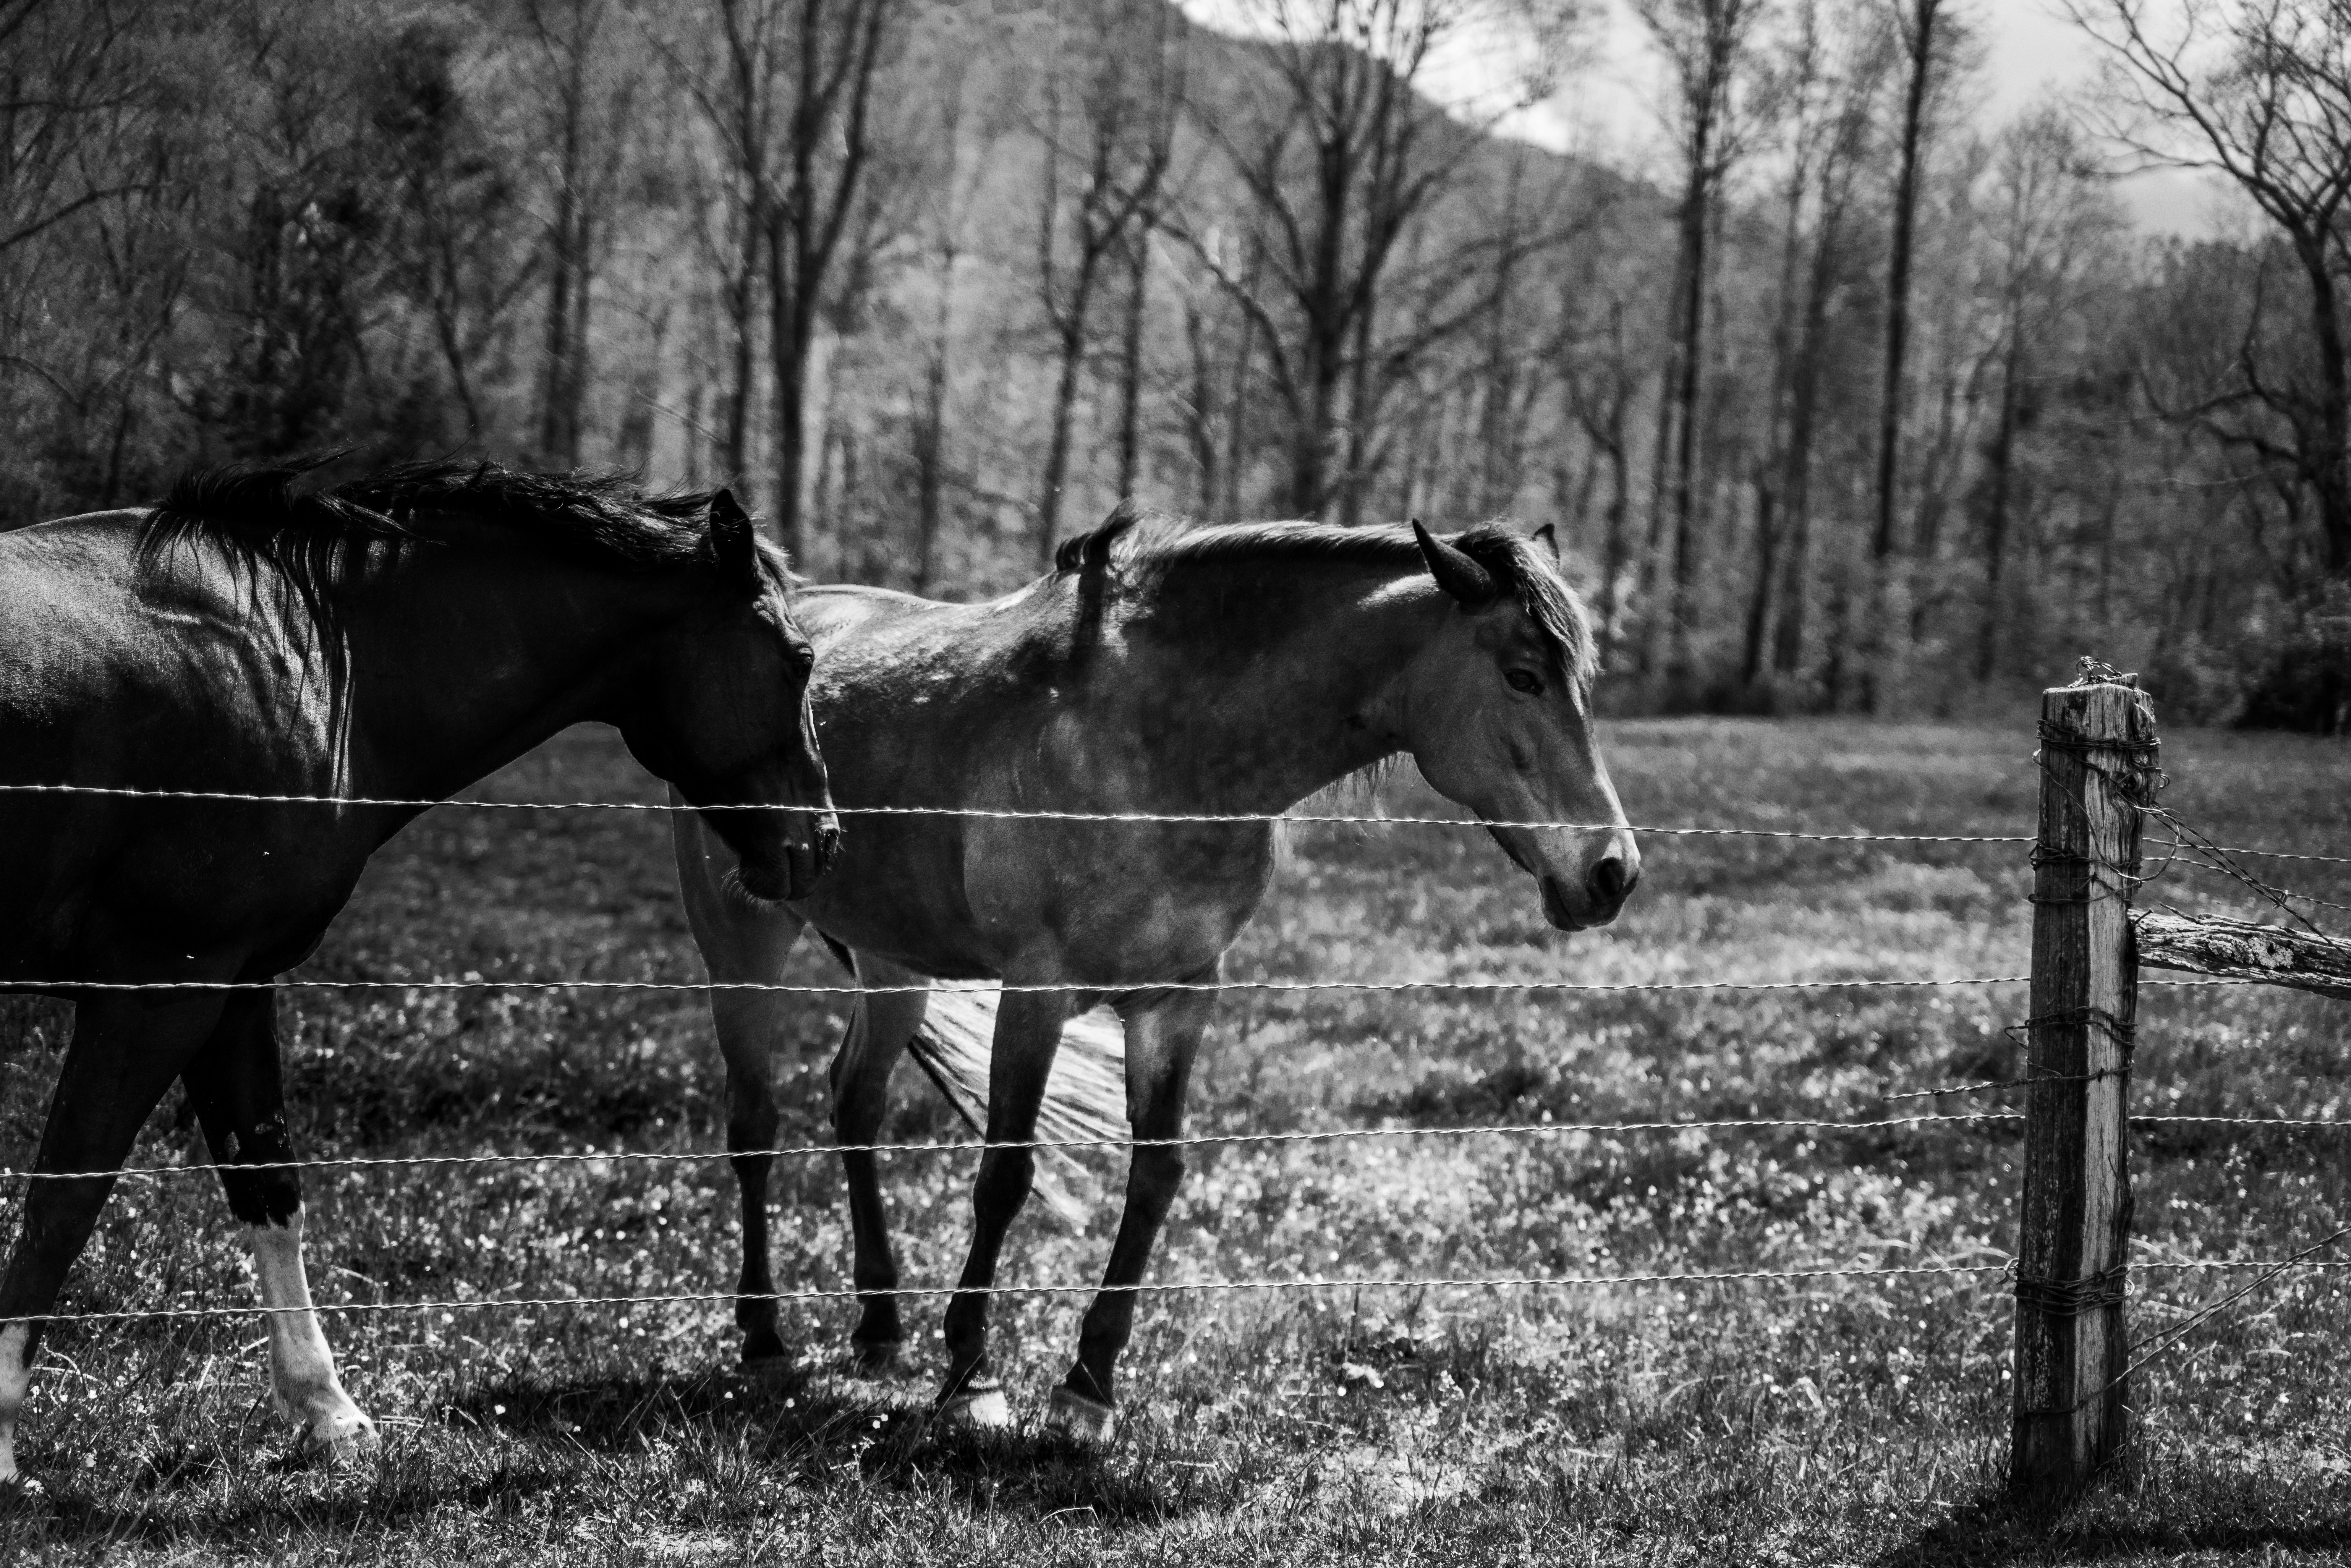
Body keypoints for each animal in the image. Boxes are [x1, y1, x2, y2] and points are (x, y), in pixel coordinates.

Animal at [0, 459, 840, 1485]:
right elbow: (62, 1203)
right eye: (799, 659)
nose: (822, 841)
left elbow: (268, 1187)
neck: (311, 655)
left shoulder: (231, 987)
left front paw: (326, 1411)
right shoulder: (157, 988)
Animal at [668, 504, 1639, 1441]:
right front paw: (970, 1376)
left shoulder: (1179, 998)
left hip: (894, 960)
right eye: (1522, 675)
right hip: (744, 942)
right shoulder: (1036, 991)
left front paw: (1089, 1383)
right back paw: (764, 1336)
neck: (1163, 744)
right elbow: (1005, 1175)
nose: (1611, 872)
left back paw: (878, 1324)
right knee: (755, 1126)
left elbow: (1158, 1174)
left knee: (853, 1101)